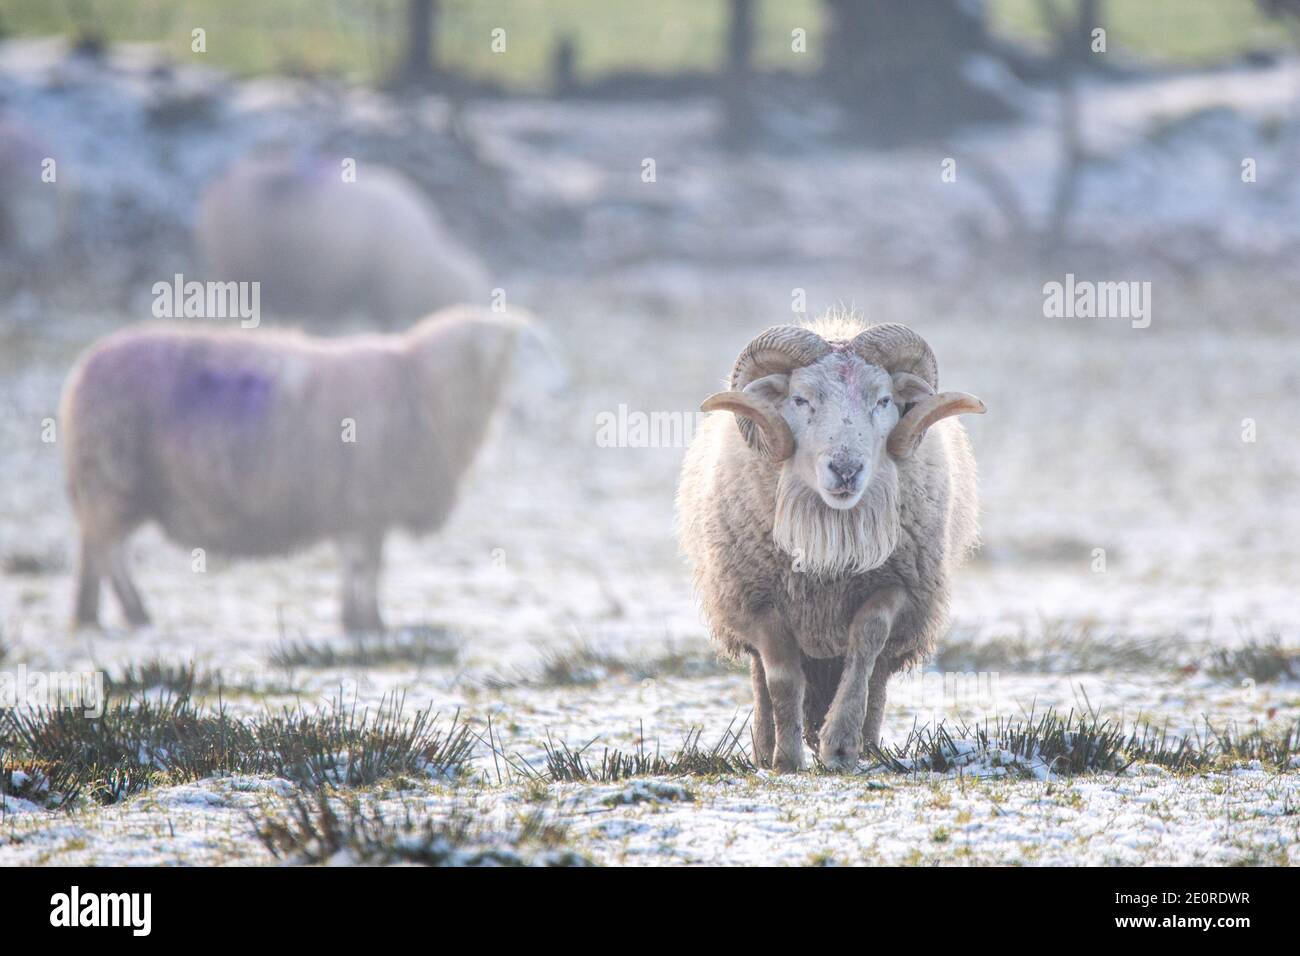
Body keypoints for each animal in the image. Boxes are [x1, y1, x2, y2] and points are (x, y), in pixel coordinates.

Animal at [60, 305, 525, 632]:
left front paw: (360, 619)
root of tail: (82, 370)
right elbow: (365, 566)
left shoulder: (362, 514)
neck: (423, 386)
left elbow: (362, 566)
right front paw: (367, 623)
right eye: (496, 356)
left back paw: (93, 616)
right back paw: (137, 613)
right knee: (108, 553)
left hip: (105, 489)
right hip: (113, 482)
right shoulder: (364, 509)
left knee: (95, 554)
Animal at [675, 312, 985, 772]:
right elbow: (781, 677)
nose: (846, 469)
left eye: (884, 400)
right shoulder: (759, 597)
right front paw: (786, 757)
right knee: (760, 680)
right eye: (801, 399)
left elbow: (865, 649)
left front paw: (840, 746)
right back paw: (764, 748)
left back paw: (869, 743)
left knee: (878, 679)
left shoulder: (897, 586)